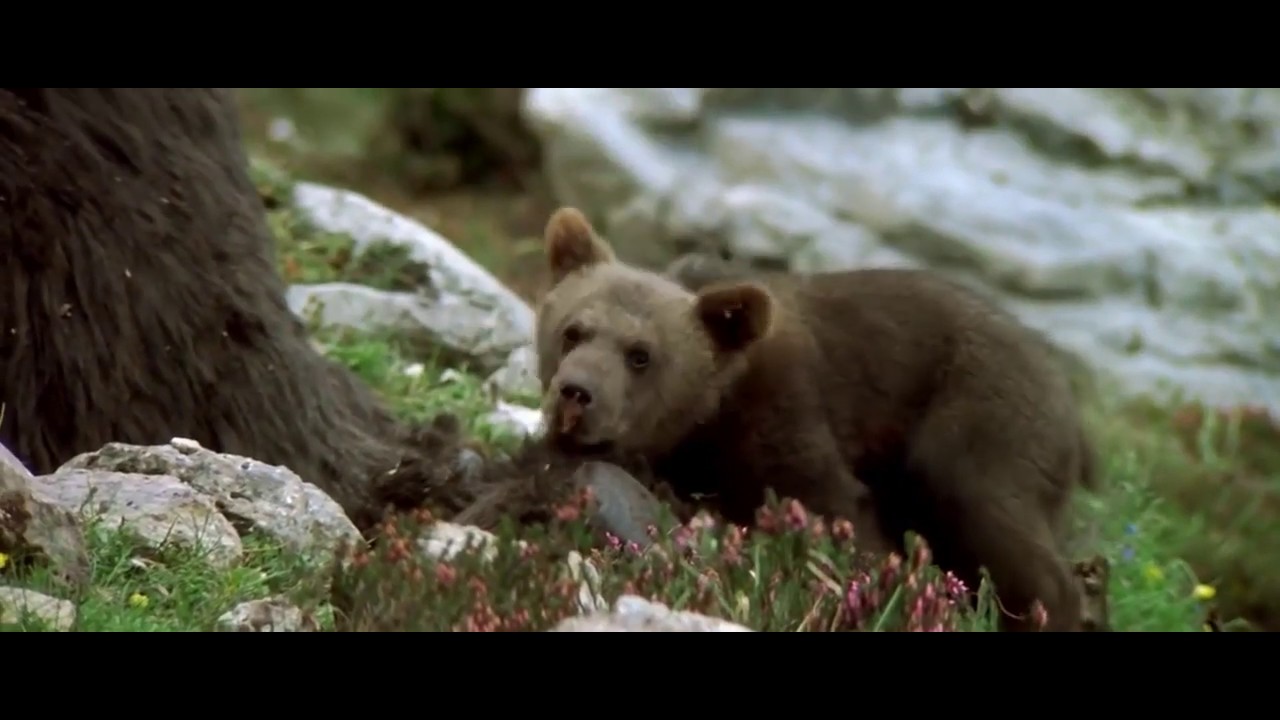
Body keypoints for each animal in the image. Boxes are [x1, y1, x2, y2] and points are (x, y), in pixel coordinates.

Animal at [534, 206, 1099, 632]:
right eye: (573, 330)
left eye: (641, 355)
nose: (576, 393)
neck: (708, 416)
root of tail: (1070, 399)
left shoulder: (787, 415)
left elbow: (837, 512)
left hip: (978, 421)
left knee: (997, 522)